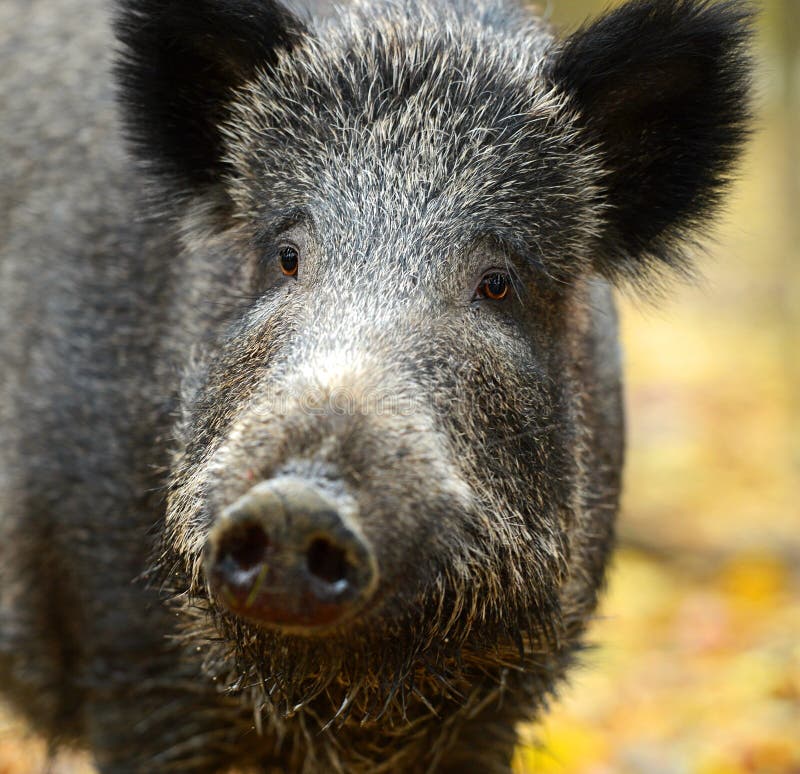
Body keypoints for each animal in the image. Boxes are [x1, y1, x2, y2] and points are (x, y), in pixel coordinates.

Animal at [0, 0, 752, 771]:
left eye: (498, 282)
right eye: (286, 256)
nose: (295, 506)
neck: (348, 702)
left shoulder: (502, 705)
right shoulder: (129, 661)